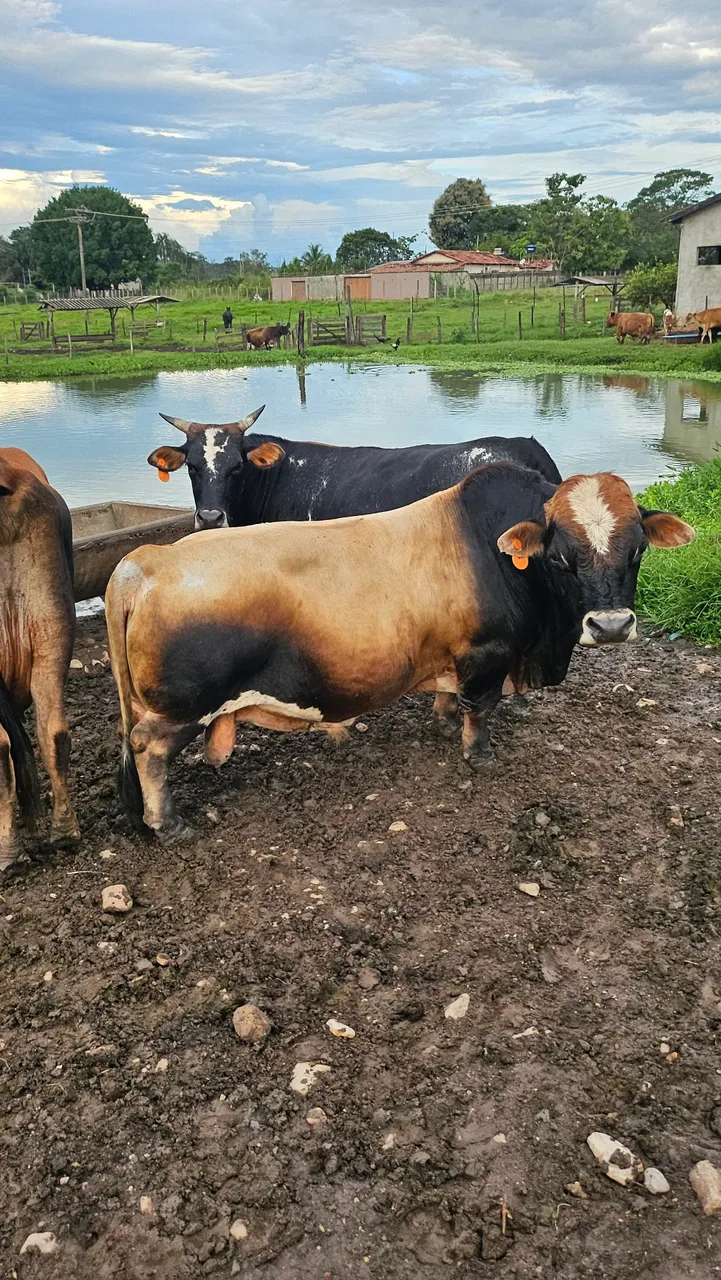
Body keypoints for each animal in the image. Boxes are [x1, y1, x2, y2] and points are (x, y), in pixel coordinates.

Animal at [106, 463, 694, 841]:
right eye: (560, 558)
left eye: (637, 550)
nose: (612, 626)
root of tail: (145, 563)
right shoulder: (487, 657)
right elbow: (480, 712)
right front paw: (478, 753)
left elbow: (449, 699)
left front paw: (443, 720)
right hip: (181, 709)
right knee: (148, 750)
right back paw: (168, 825)